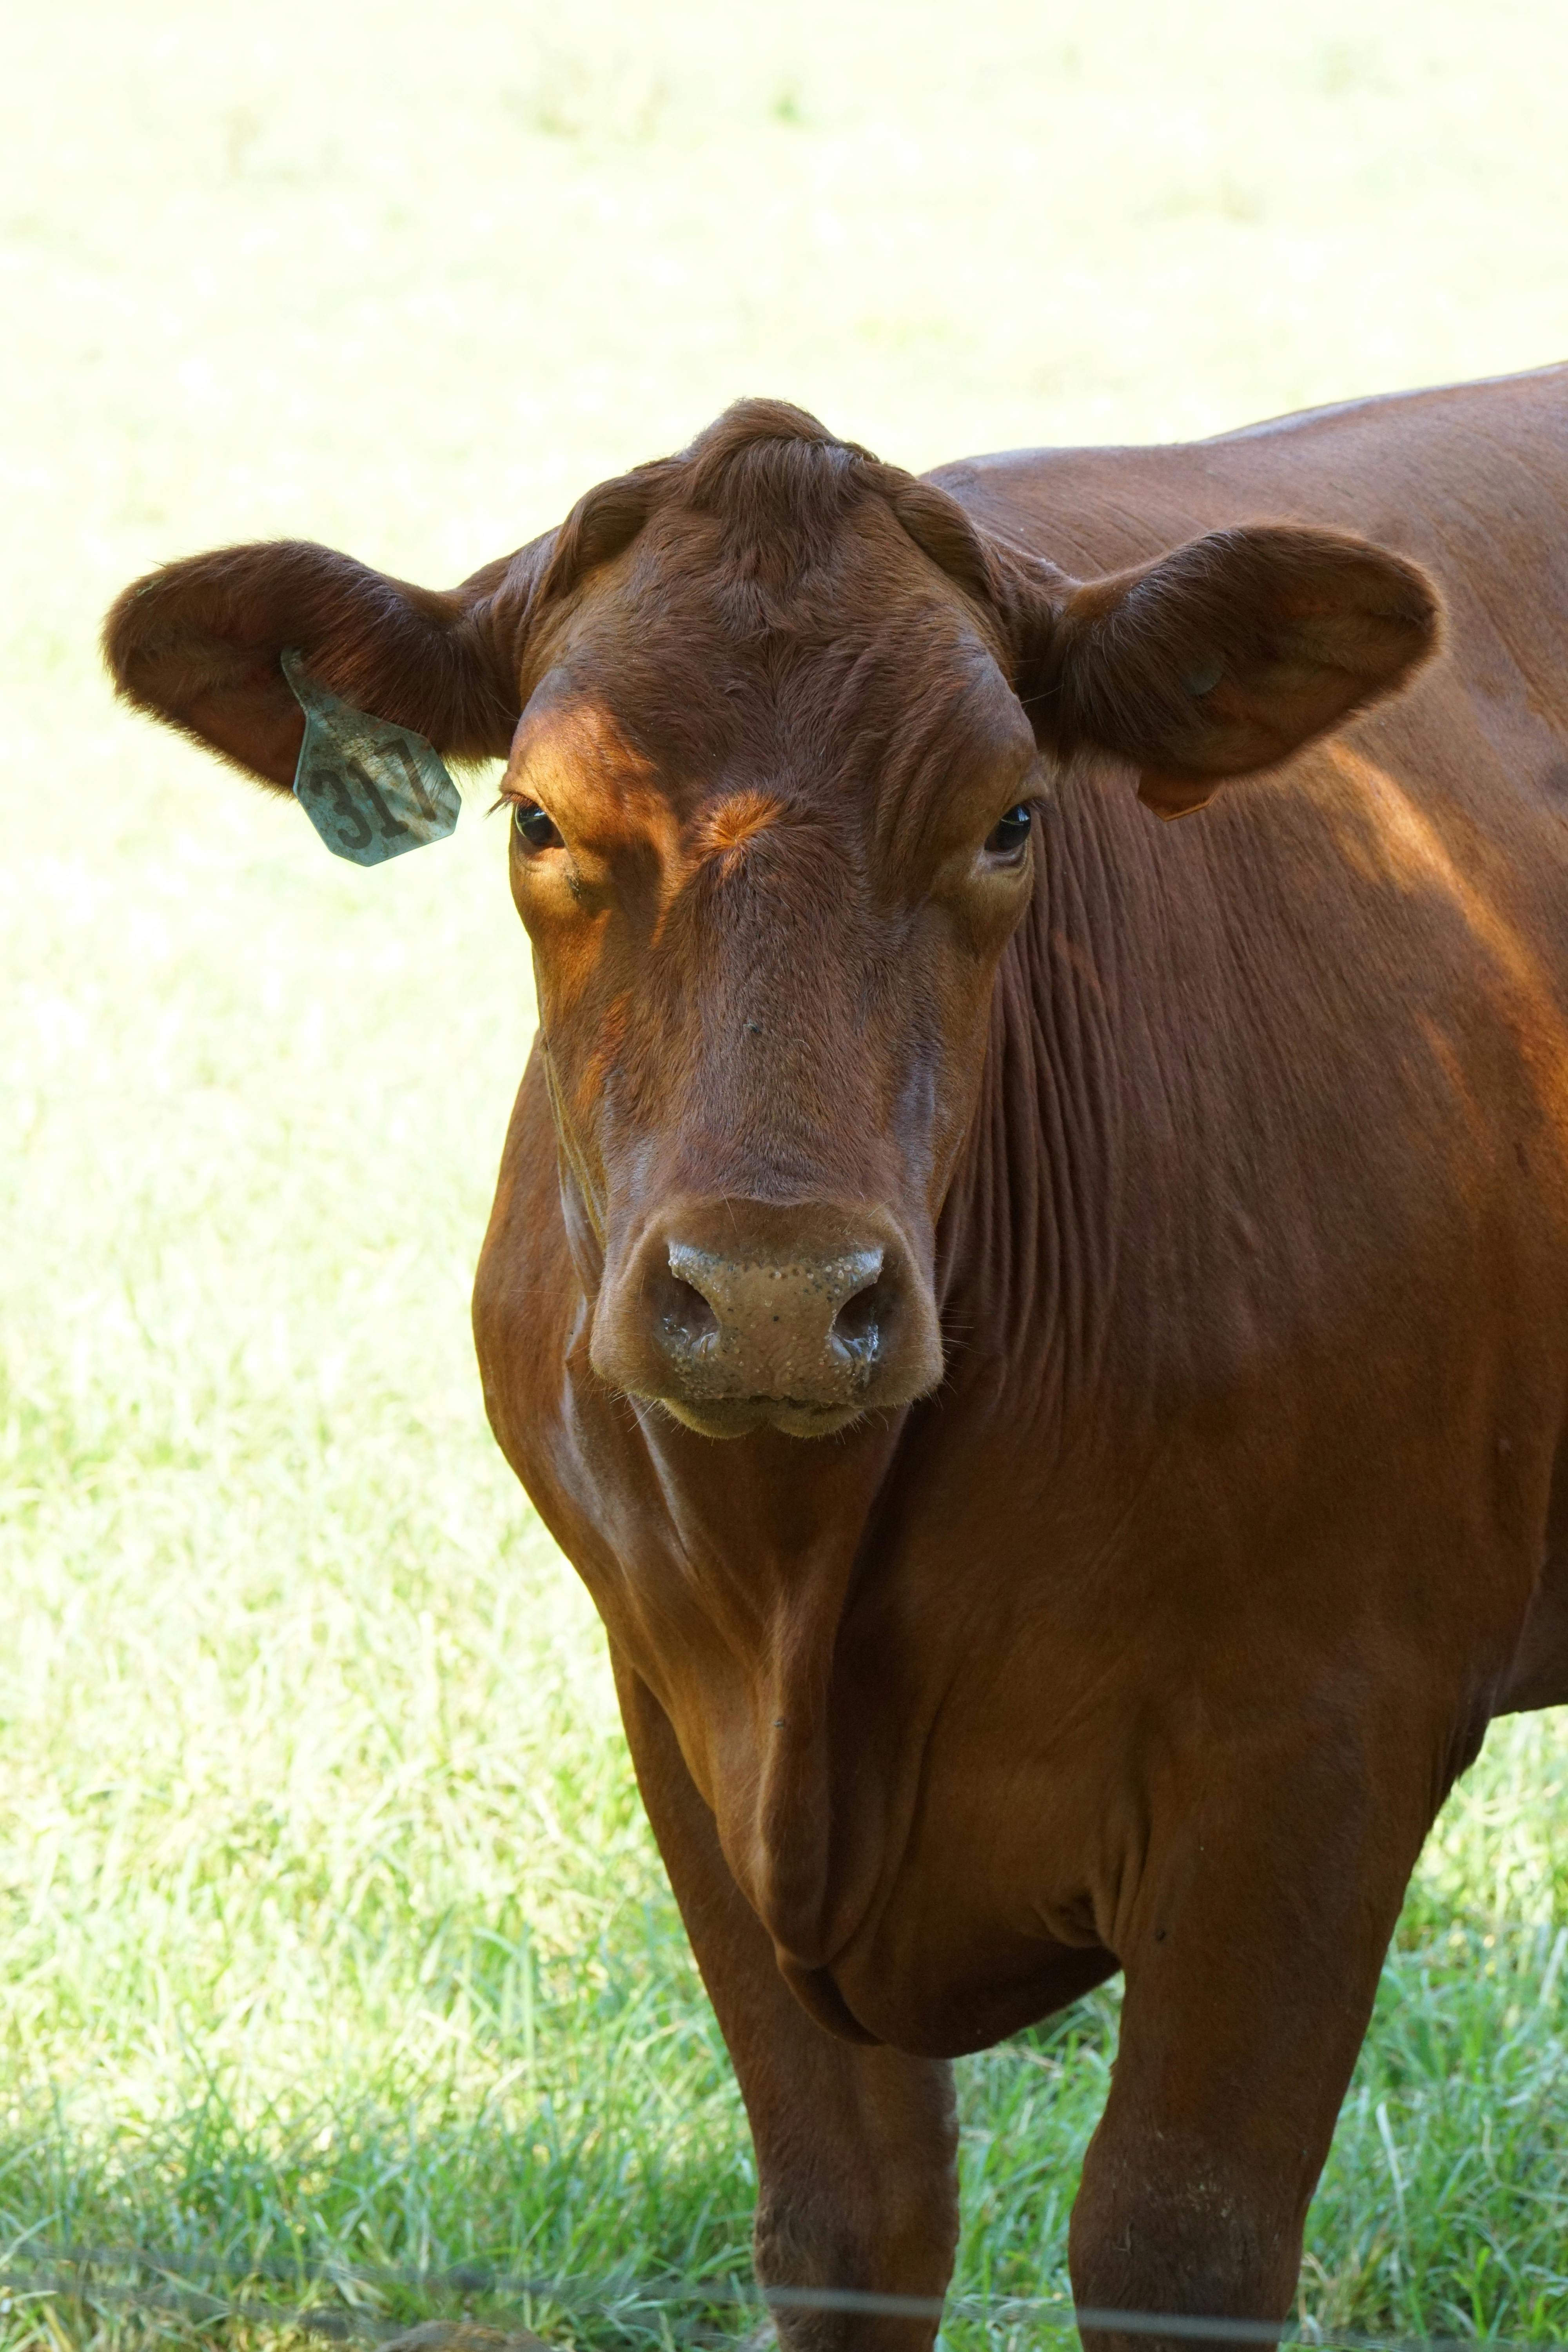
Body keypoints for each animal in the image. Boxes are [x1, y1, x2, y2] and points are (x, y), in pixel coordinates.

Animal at [105, 363, 1568, 2352]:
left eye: (1013, 819)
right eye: (536, 821)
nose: (777, 1292)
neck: (805, 1570)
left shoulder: (1322, 1740)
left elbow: (1172, 2243)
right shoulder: (678, 1717)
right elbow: (848, 2224)